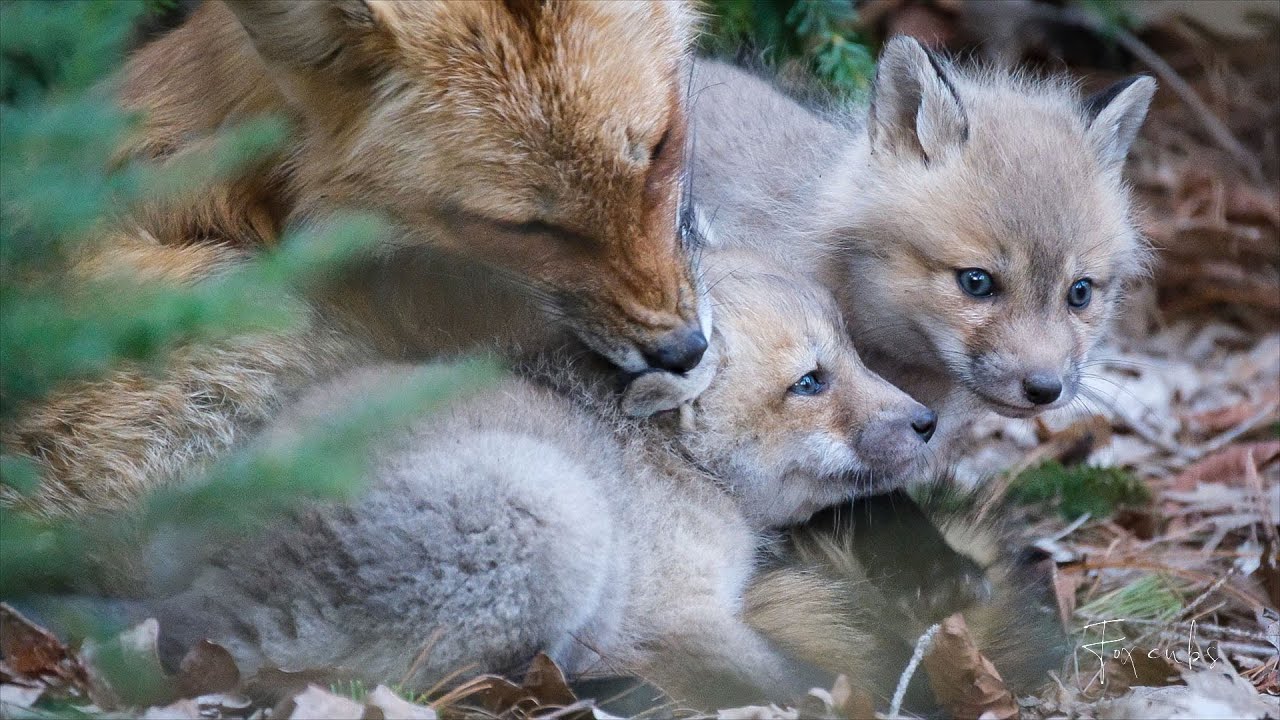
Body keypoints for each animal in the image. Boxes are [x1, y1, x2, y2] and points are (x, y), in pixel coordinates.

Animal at [136, 249, 937, 711]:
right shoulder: (676, 618)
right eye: (810, 382)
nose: (930, 422)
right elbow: (796, 681)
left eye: (856, 356)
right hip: (555, 511)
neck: (679, 466)